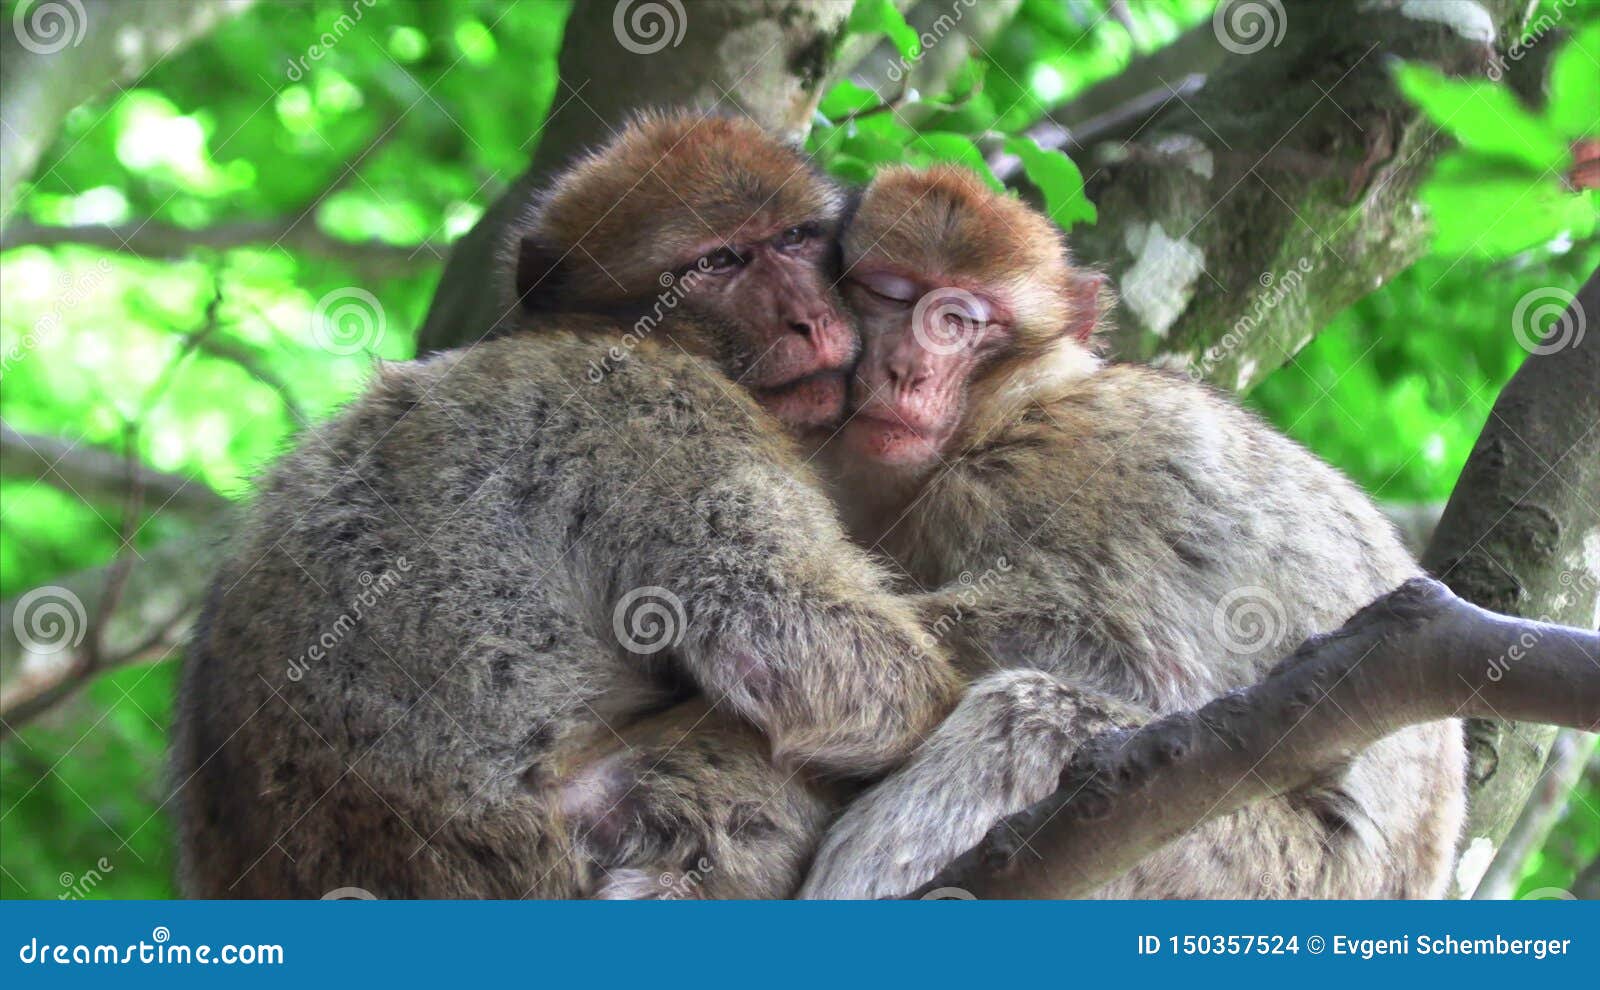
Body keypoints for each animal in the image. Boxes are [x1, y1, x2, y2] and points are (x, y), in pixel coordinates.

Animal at [171, 113, 960, 899]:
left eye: (796, 237)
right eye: (720, 261)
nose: (808, 319)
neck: (621, 333)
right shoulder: (675, 419)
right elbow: (817, 657)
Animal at [796, 165, 1466, 899]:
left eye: (960, 321)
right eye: (888, 294)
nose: (908, 369)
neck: (1005, 416)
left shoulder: (1048, 479)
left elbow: (1142, 670)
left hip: (1247, 864)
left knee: (1036, 720)